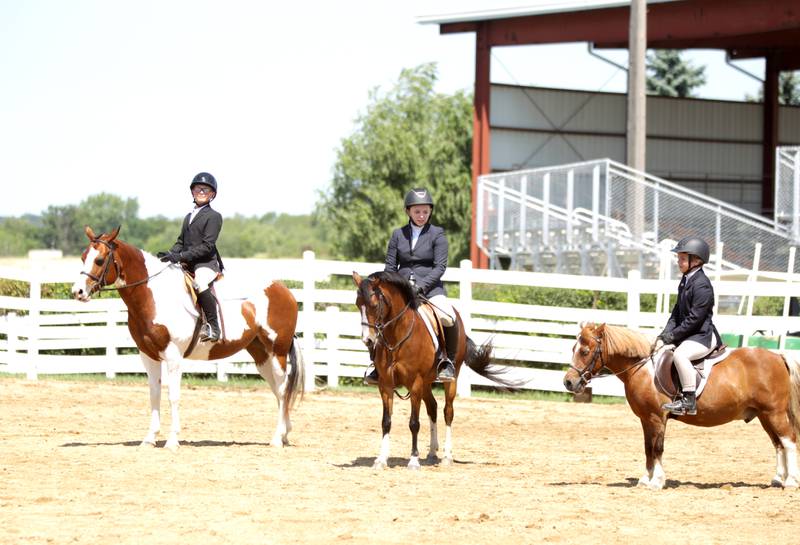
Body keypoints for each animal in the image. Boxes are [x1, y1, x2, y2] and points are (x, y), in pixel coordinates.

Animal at [71, 226, 304, 451]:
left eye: (99, 260)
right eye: (83, 257)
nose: (78, 292)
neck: (154, 295)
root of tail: (283, 289)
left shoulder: (173, 356)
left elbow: (173, 396)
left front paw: (172, 441)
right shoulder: (148, 355)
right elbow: (154, 394)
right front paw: (149, 439)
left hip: (278, 351)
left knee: (282, 388)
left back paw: (277, 439)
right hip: (261, 355)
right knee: (277, 390)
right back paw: (285, 434)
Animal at [352, 270, 514, 470]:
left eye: (374, 305)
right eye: (357, 304)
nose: (368, 340)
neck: (397, 336)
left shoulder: (415, 383)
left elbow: (414, 423)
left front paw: (413, 460)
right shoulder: (385, 385)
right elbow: (386, 421)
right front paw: (381, 460)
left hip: (449, 380)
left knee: (447, 412)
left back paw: (446, 456)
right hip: (426, 383)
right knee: (433, 408)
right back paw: (431, 453)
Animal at [564, 322, 800, 489]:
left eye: (584, 351)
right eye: (573, 348)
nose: (568, 382)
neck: (643, 368)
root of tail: (778, 355)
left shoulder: (657, 418)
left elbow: (657, 448)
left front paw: (657, 481)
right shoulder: (646, 419)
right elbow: (648, 448)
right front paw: (645, 479)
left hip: (774, 413)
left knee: (788, 441)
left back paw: (790, 482)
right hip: (764, 415)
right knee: (778, 443)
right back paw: (778, 479)